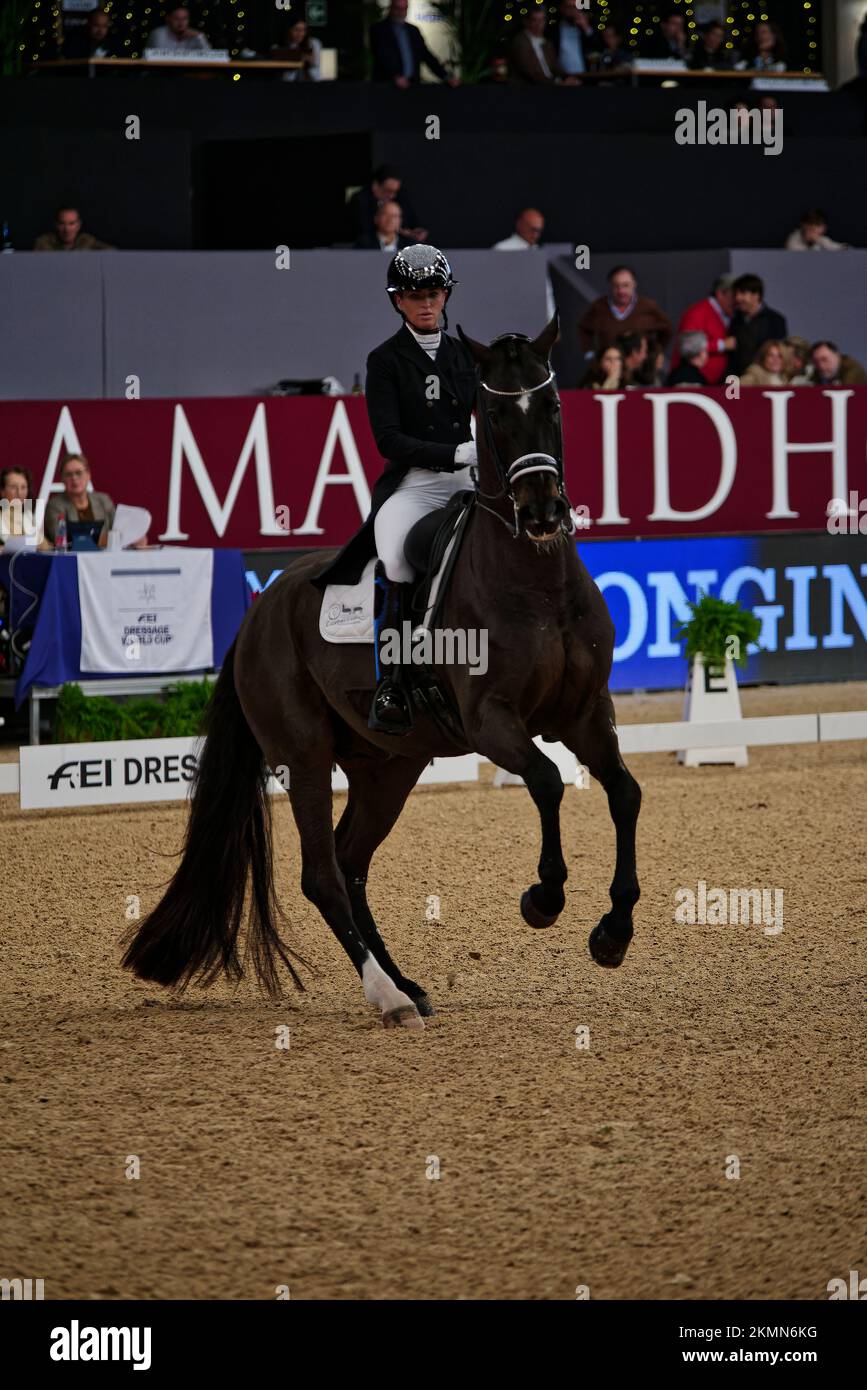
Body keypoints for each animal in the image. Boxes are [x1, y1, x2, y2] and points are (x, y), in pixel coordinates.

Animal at [122, 313, 642, 1031]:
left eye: (554, 407)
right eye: (492, 415)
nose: (541, 514)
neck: (535, 583)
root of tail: (259, 613)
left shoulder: (586, 711)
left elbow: (624, 793)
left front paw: (612, 933)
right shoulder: (491, 721)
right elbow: (544, 781)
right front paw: (543, 899)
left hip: (386, 765)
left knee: (350, 862)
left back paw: (408, 986)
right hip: (305, 757)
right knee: (322, 874)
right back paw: (388, 997)